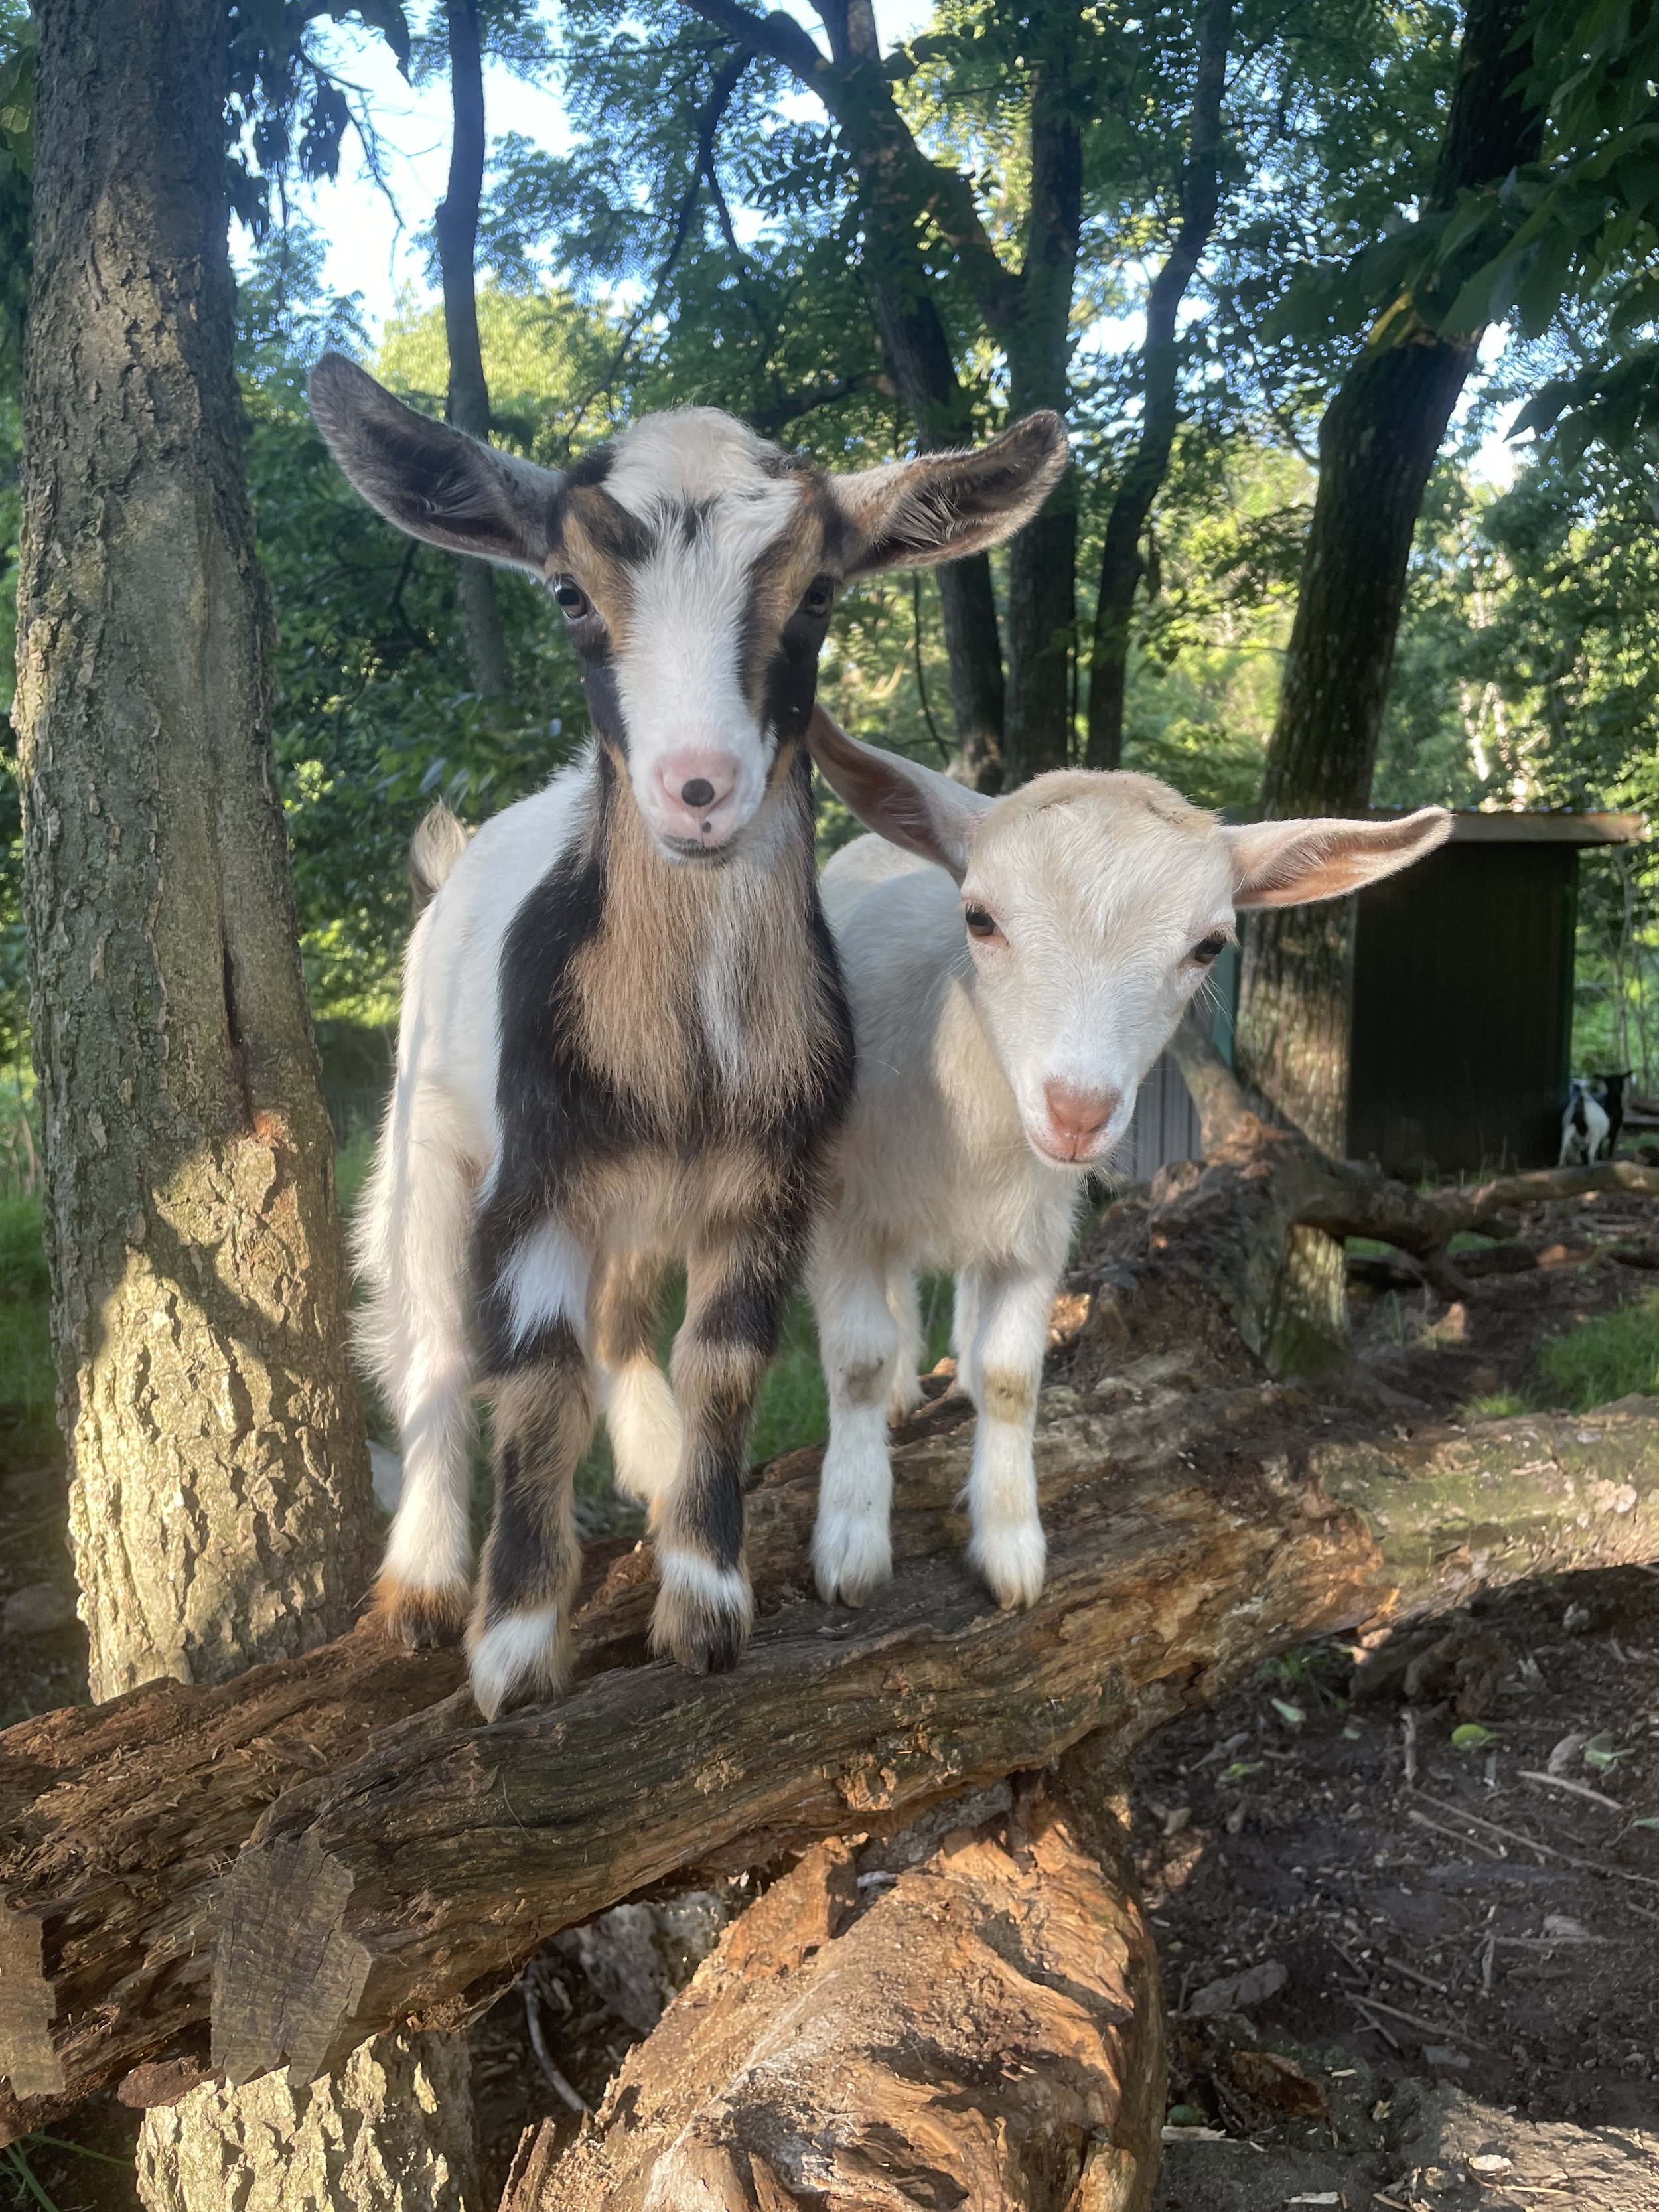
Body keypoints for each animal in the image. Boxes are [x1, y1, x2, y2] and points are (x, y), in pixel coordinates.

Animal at [310, 357, 1067, 1716]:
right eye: (566, 590)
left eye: (818, 590)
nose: (699, 788)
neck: (692, 1055)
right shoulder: (534, 1181)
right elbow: (534, 1380)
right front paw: (514, 1647)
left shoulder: (765, 1183)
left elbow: (723, 1362)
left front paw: (706, 1602)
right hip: (423, 1143)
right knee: (431, 1344)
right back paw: (425, 1583)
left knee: (616, 1325)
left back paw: (658, 1477)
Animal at [803, 708, 1452, 1612]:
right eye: (979, 918)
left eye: (1210, 946)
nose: (1076, 1111)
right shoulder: (836, 1207)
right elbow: (855, 1363)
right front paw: (851, 1545)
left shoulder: (1040, 1227)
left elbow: (1013, 1376)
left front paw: (1011, 1548)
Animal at [1561, 1076, 1611, 1167]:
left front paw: (1577, 1162)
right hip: (1595, 1133)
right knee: (1591, 1153)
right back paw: (1592, 1165)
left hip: (1568, 1128)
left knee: (1564, 1149)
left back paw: (1562, 1164)